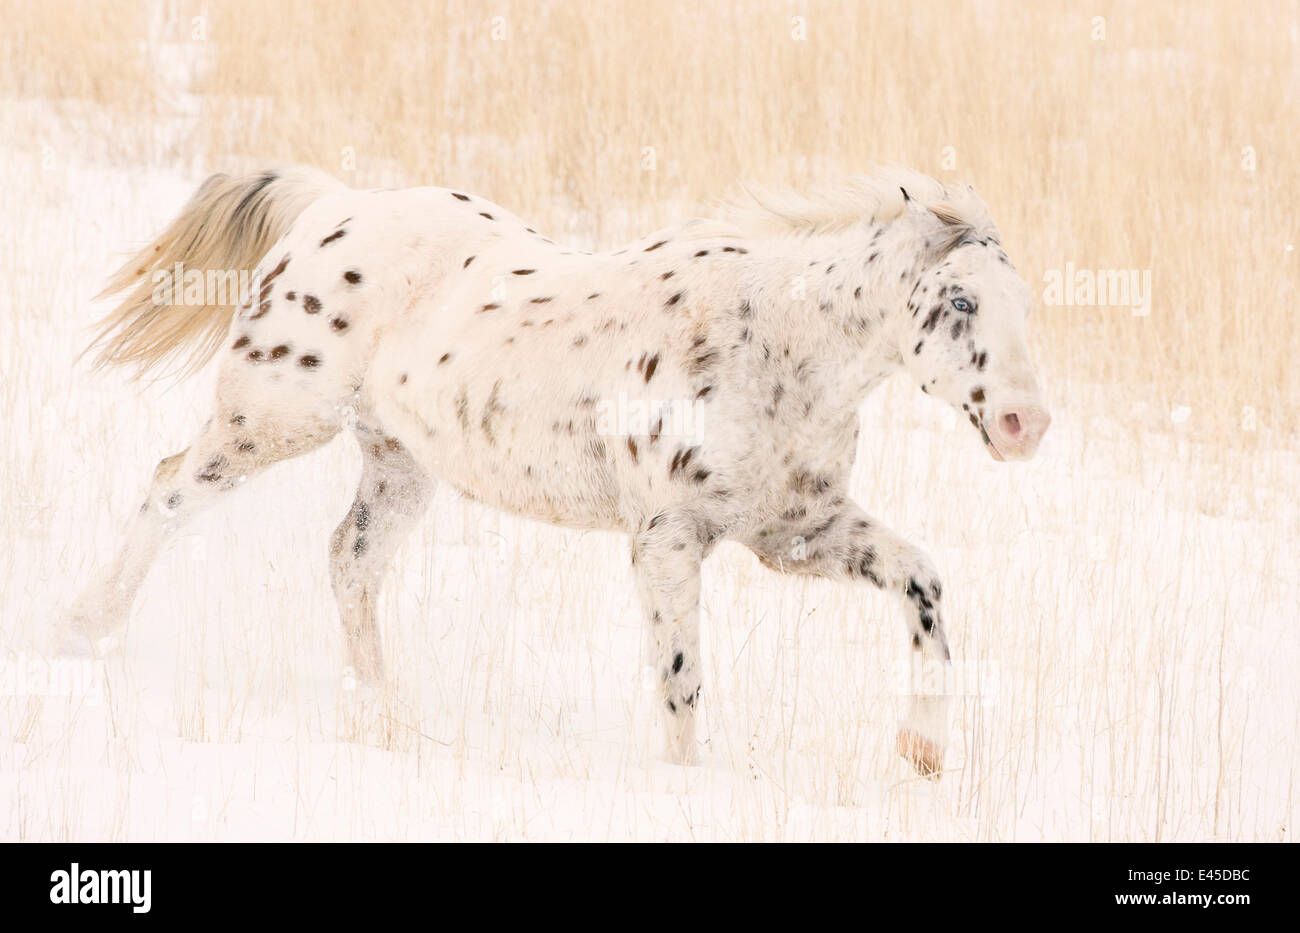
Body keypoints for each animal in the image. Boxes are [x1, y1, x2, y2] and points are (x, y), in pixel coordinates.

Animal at [70, 165, 1051, 777]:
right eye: (960, 299)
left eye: (1025, 302)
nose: (1025, 423)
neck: (771, 340)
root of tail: (329, 205)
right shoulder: (668, 539)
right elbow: (681, 678)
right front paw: (685, 785)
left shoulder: (793, 534)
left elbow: (923, 582)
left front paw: (922, 751)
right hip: (270, 420)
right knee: (168, 488)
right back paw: (83, 630)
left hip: (398, 463)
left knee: (349, 559)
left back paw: (383, 716)